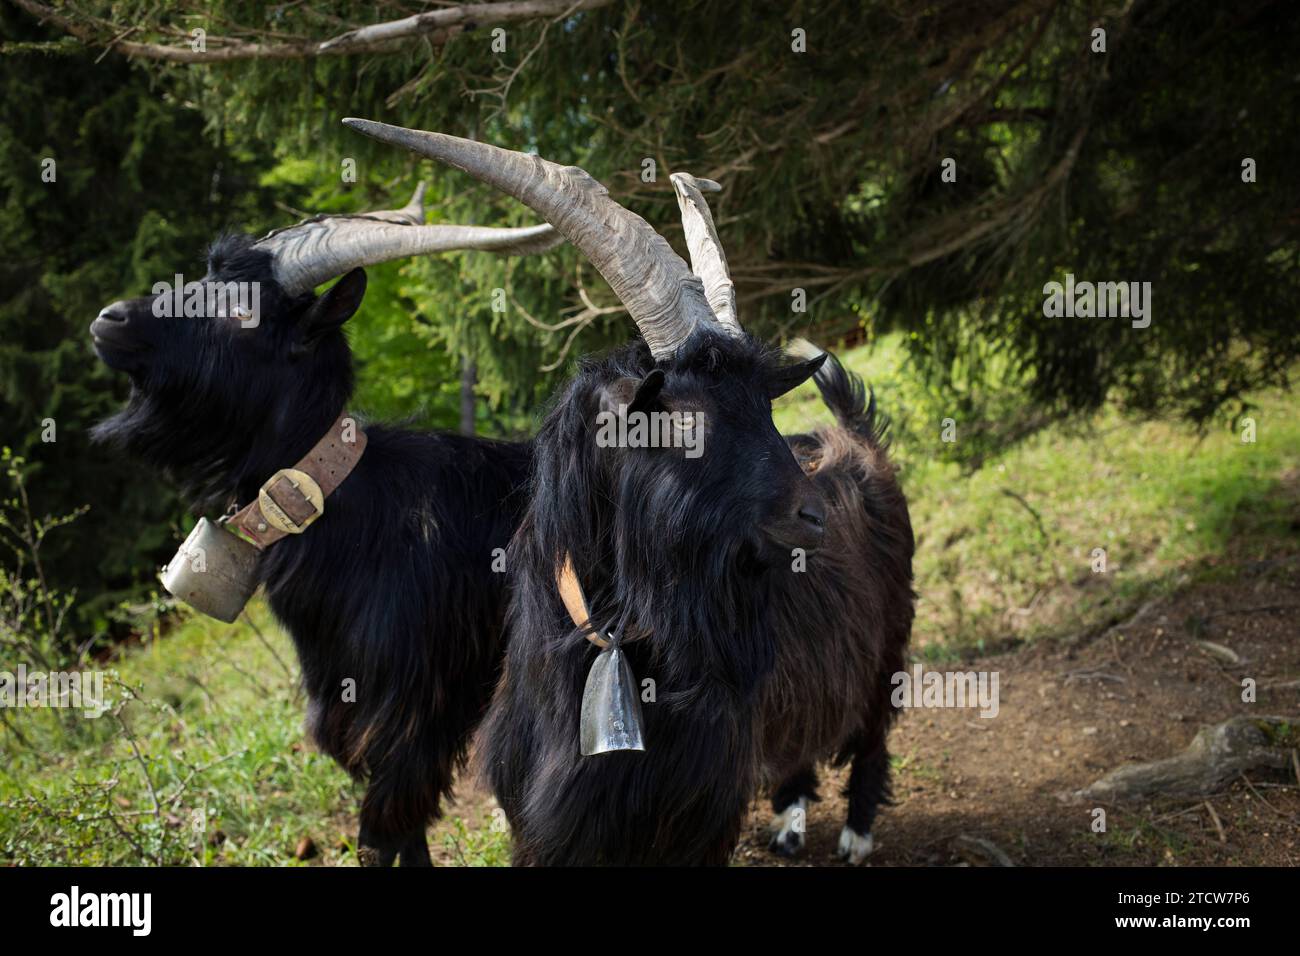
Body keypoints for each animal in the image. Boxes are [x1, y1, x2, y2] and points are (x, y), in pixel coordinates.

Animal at [345, 120, 916, 865]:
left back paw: (855, 834)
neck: (620, 639)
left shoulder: (697, 809)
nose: (812, 516)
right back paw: (790, 823)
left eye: (765, 405)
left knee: (874, 730)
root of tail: (856, 437)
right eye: (686, 418)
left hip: (890, 639)